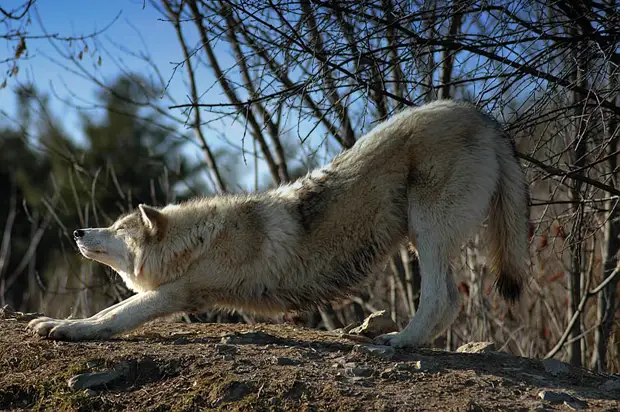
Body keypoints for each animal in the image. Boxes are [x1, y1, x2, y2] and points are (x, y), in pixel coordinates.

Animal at [26, 100, 528, 348]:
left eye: (117, 229)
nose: (78, 232)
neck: (202, 240)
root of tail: (485, 118)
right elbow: (106, 311)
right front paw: (51, 320)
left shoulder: (179, 293)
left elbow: (115, 315)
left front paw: (68, 329)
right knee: (451, 301)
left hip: (427, 231)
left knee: (441, 299)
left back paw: (402, 341)